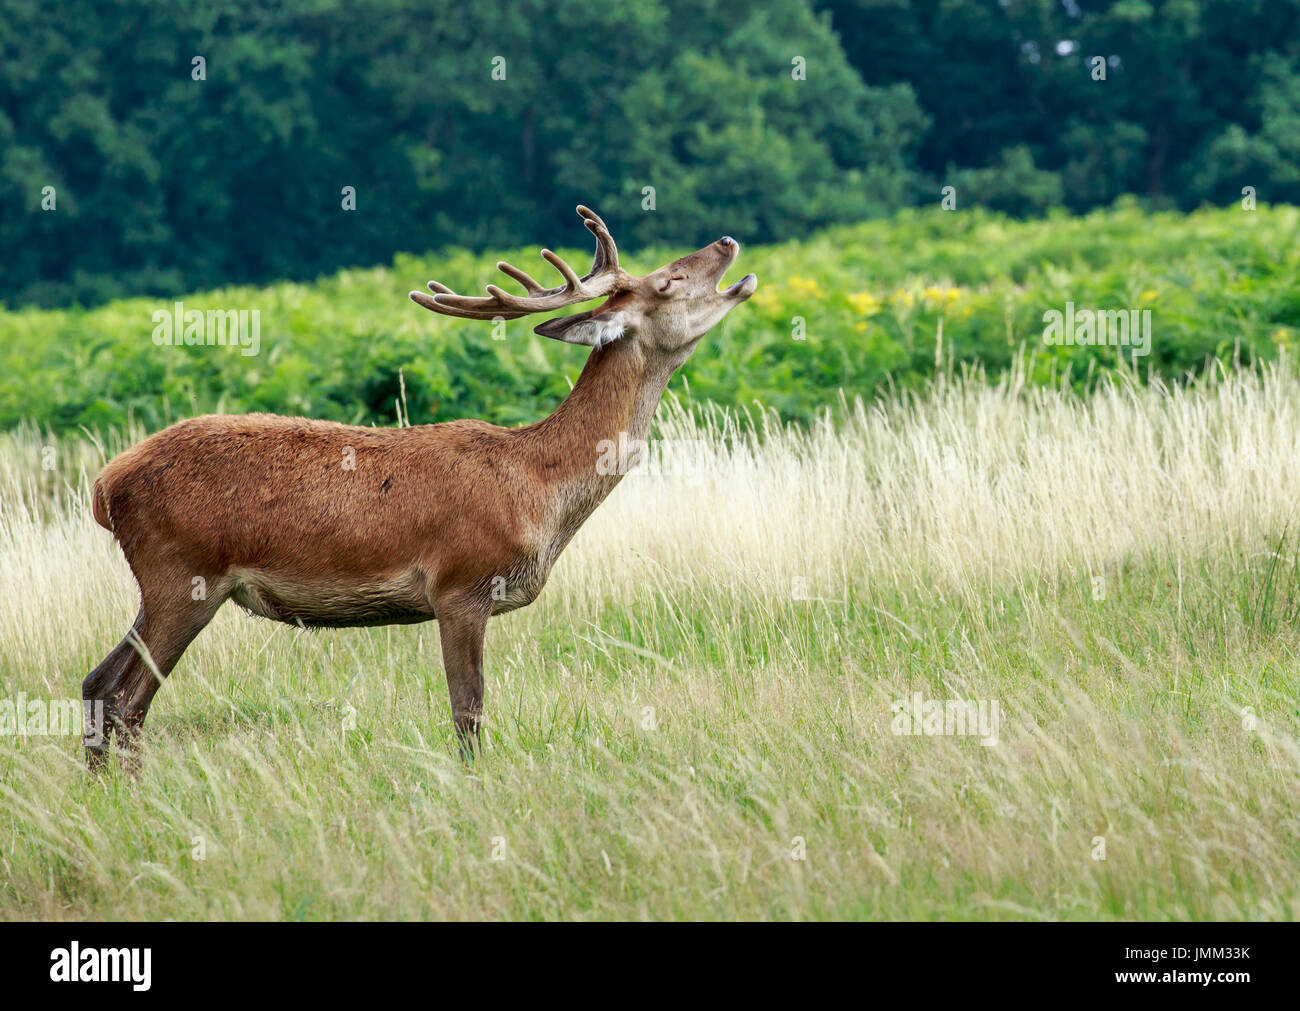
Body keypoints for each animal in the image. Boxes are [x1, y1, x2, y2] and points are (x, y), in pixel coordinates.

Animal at [82, 205, 757, 767]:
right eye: (667, 280)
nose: (727, 240)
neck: (539, 492)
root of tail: (104, 487)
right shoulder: (460, 584)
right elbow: (468, 716)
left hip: (168, 584)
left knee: (97, 684)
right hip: (183, 573)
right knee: (125, 698)